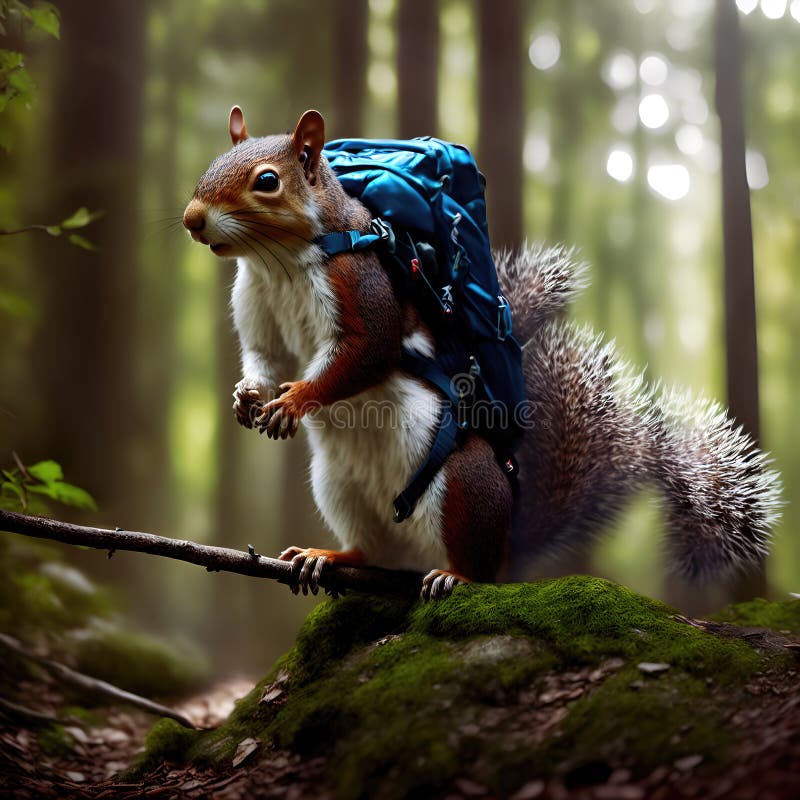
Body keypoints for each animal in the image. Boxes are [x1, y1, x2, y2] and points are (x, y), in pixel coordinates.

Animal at [183, 108, 782, 599]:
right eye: (210, 164)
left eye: (267, 181)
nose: (191, 219)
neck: (280, 263)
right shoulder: (256, 303)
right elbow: (265, 357)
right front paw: (246, 396)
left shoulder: (360, 285)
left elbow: (365, 353)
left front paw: (295, 401)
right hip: (338, 489)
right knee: (369, 549)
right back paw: (326, 555)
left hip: (463, 485)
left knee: (472, 562)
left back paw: (457, 576)